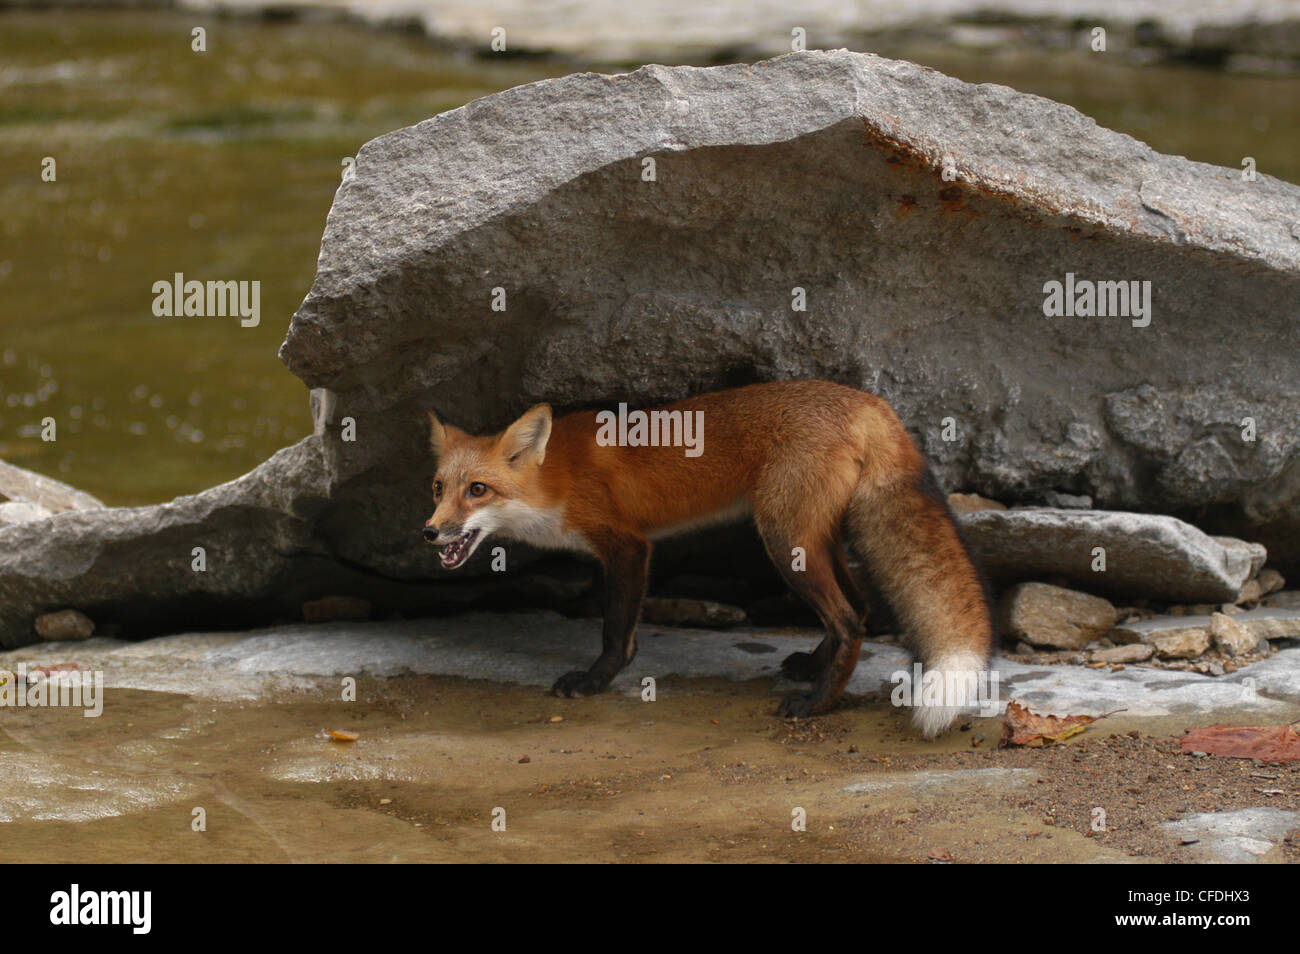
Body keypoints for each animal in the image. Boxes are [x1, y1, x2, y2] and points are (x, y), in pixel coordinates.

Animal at [423, 379, 994, 738]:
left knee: (850, 618)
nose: (429, 532)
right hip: (813, 539)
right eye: (438, 489)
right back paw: (811, 667)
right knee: (859, 606)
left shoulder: (628, 546)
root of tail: (871, 402)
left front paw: (594, 681)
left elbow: (615, 631)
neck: (555, 478)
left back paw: (816, 704)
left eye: (478, 490)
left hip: (784, 541)